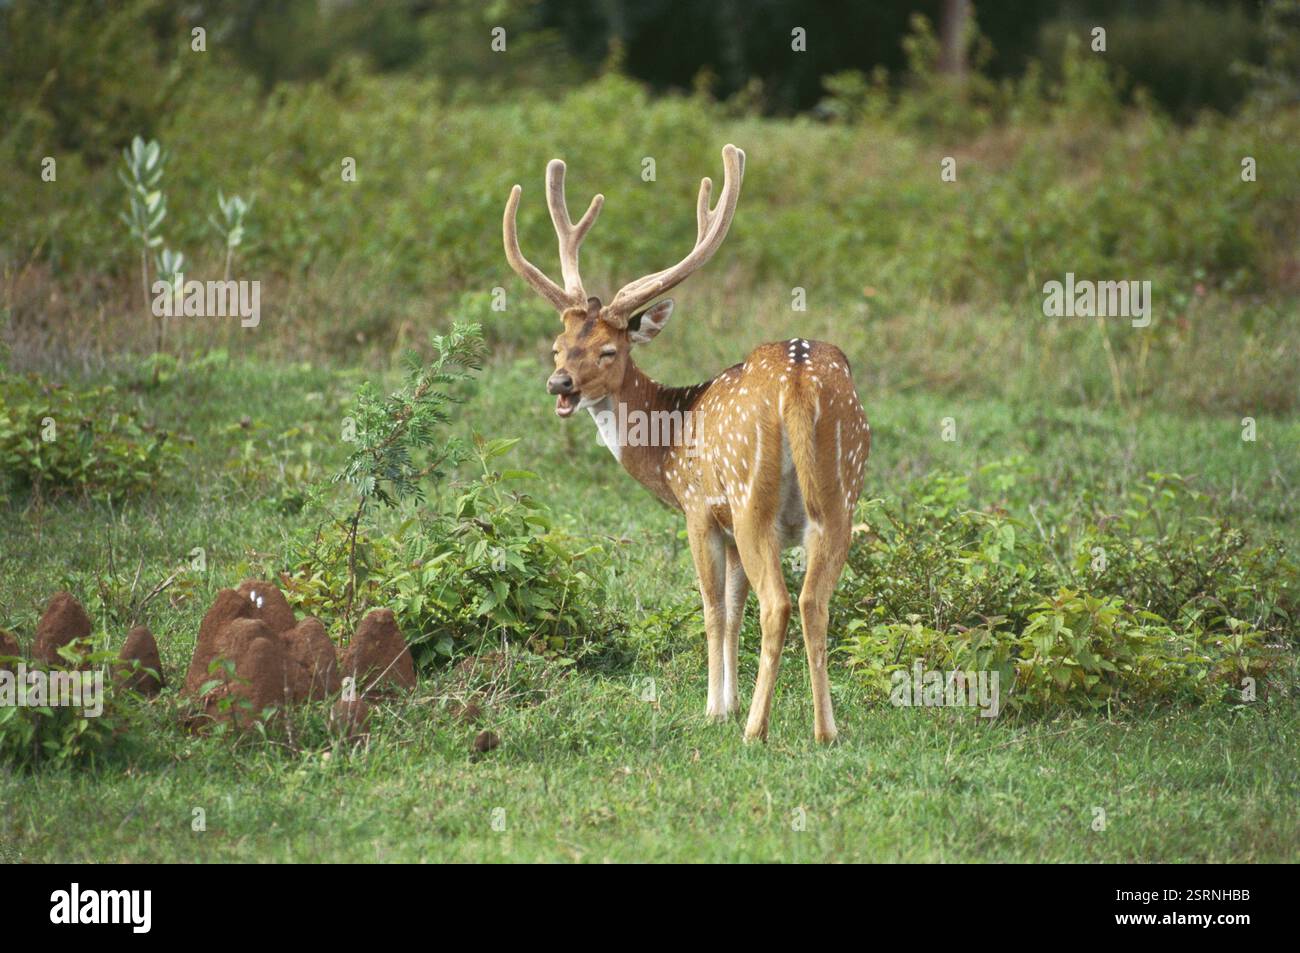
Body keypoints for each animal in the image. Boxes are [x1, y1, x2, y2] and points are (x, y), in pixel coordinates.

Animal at [502, 144, 870, 743]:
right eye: (559, 345)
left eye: (608, 350)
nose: (561, 384)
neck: (669, 439)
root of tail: (797, 381)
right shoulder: (730, 525)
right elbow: (735, 607)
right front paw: (730, 700)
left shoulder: (700, 508)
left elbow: (714, 607)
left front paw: (716, 709)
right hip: (842, 492)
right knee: (815, 601)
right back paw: (825, 730)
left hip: (750, 495)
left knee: (778, 603)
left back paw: (755, 730)